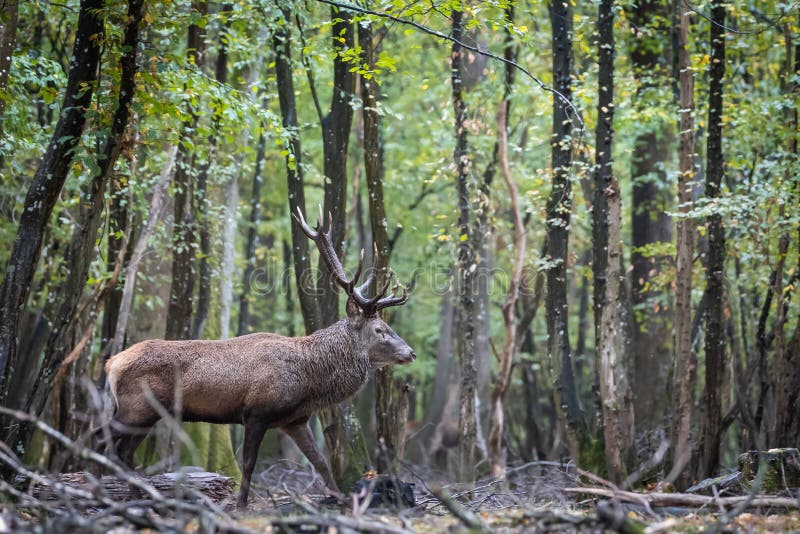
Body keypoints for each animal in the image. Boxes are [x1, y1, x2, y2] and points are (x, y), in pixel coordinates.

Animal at [103, 208, 414, 509]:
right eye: (379, 330)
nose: (410, 352)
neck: (310, 383)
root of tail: (112, 363)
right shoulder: (256, 412)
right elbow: (249, 464)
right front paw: (241, 506)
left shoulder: (295, 420)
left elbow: (322, 463)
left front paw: (340, 500)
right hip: (136, 408)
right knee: (104, 440)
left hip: (145, 414)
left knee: (122, 450)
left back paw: (138, 494)